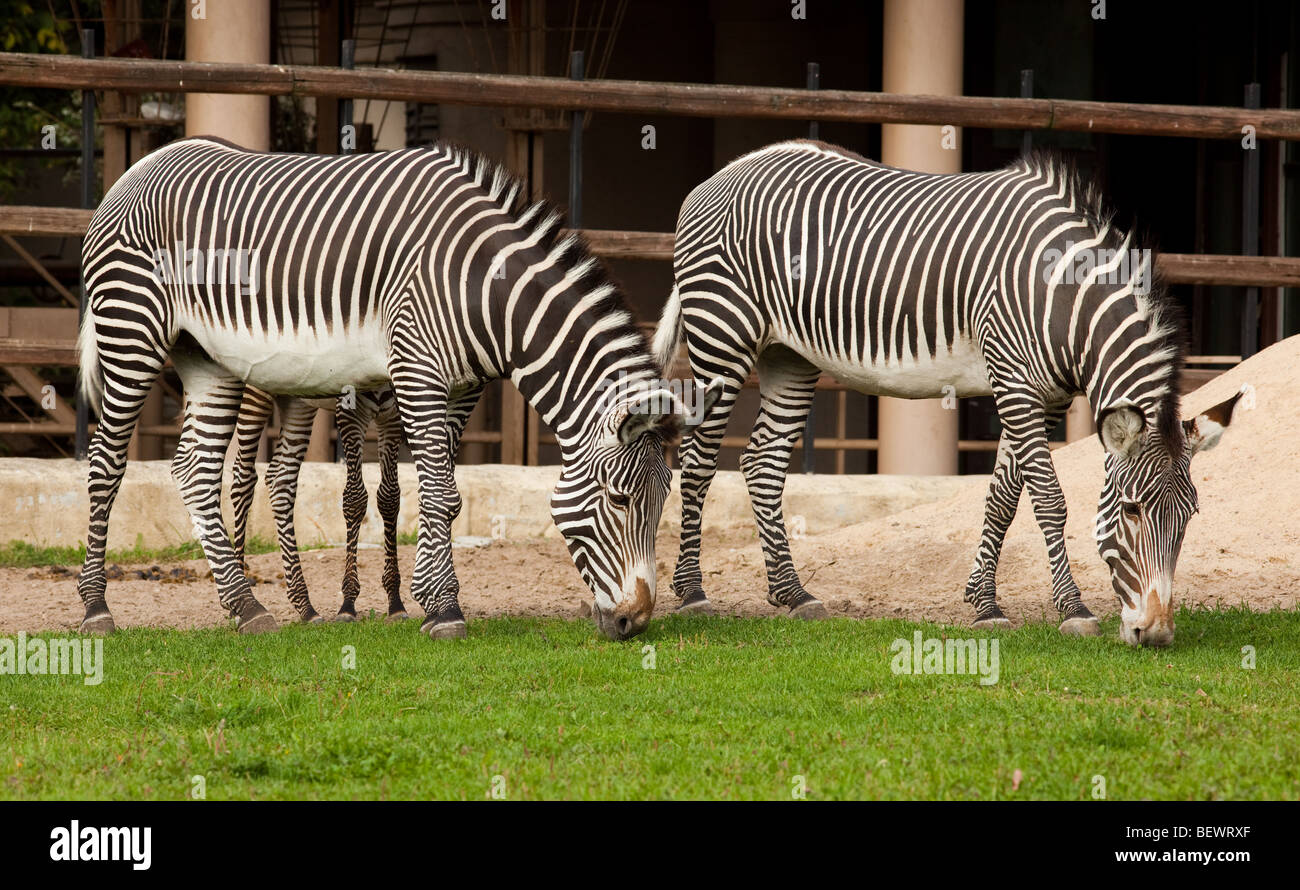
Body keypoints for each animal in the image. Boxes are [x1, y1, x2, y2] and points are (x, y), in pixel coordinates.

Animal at [227, 385, 417, 625]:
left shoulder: (392, 416)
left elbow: (389, 497)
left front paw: (395, 602)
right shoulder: (349, 412)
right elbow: (355, 498)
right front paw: (348, 604)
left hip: (298, 401)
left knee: (280, 478)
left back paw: (305, 606)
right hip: (254, 393)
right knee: (243, 478)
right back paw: (238, 604)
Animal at [652, 140, 1243, 647]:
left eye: (1189, 517)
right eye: (1131, 510)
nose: (1157, 633)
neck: (1064, 299)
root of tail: (727, 171)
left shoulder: (1044, 396)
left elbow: (1004, 496)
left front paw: (984, 602)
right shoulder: (1014, 380)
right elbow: (1048, 499)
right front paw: (1072, 609)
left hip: (787, 355)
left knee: (763, 463)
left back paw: (794, 594)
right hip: (722, 337)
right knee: (699, 461)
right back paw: (693, 593)